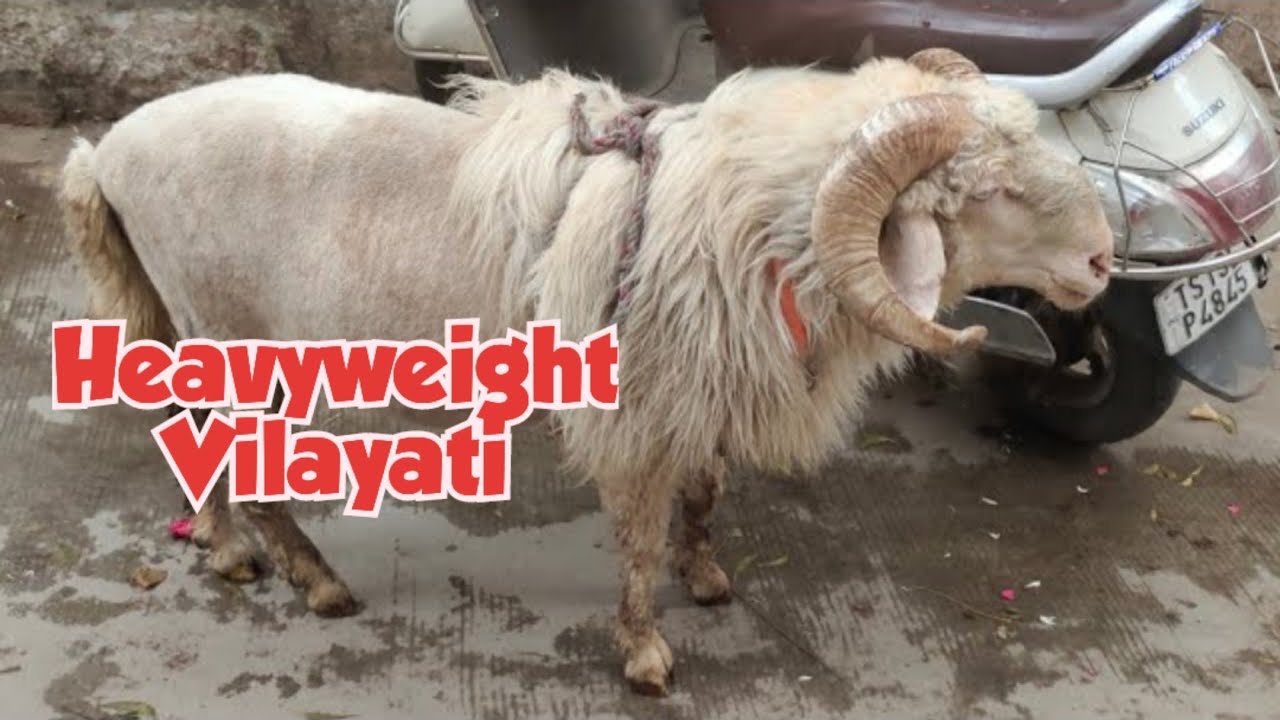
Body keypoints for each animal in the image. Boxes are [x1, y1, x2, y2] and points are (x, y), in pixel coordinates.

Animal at [60, 48, 1114, 695]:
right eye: (986, 192)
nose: (1106, 261)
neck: (751, 223)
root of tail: (105, 151)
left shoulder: (699, 382)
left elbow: (704, 492)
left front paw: (708, 575)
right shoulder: (639, 403)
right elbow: (640, 539)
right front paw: (646, 651)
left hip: (196, 325)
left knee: (192, 434)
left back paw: (224, 545)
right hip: (234, 328)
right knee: (247, 461)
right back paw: (313, 579)